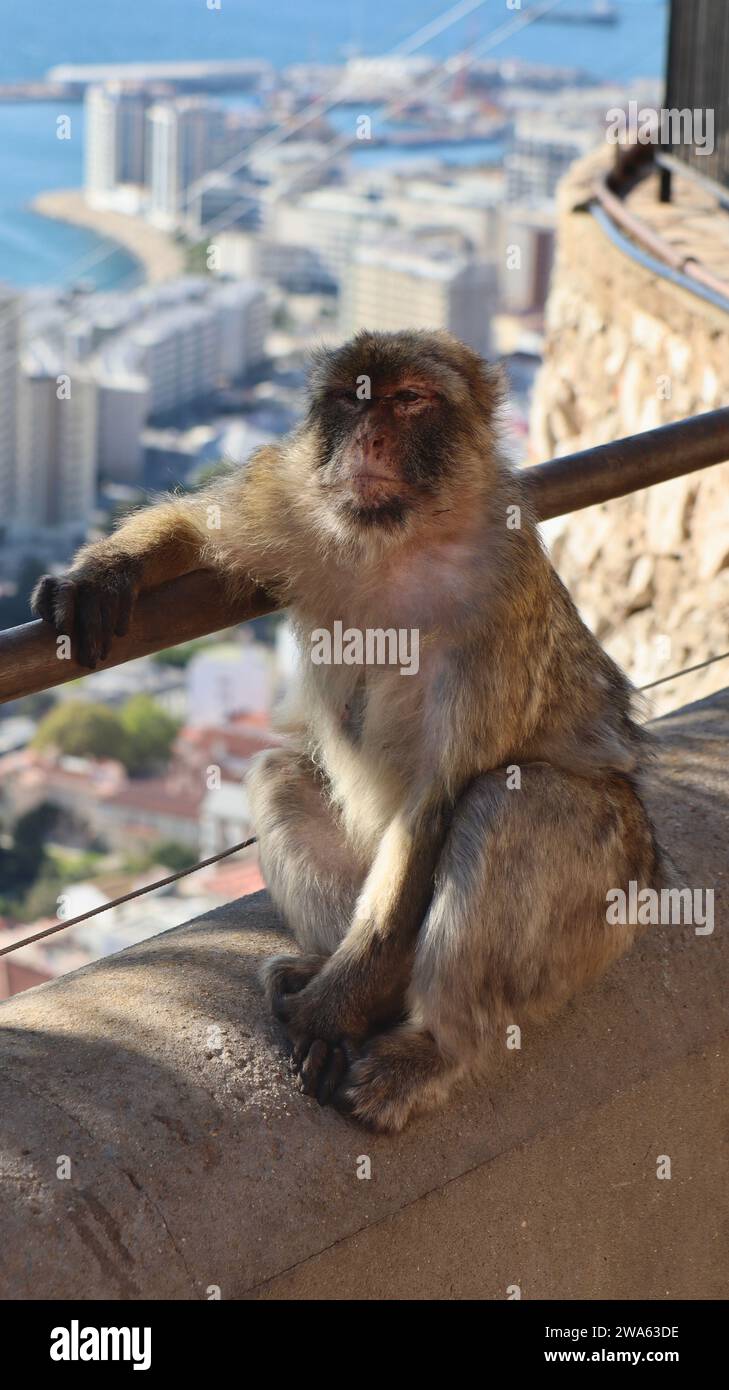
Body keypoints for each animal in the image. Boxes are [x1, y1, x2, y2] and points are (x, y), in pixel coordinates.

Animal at [32, 328, 663, 1133]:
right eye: (351, 398)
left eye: (409, 399)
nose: (371, 435)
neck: (399, 541)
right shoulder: (295, 498)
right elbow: (202, 527)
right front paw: (105, 575)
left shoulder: (502, 596)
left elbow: (435, 804)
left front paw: (333, 1016)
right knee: (279, 775)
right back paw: (347, 981)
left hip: (606, 898)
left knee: (511, 805)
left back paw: (427, 1044)